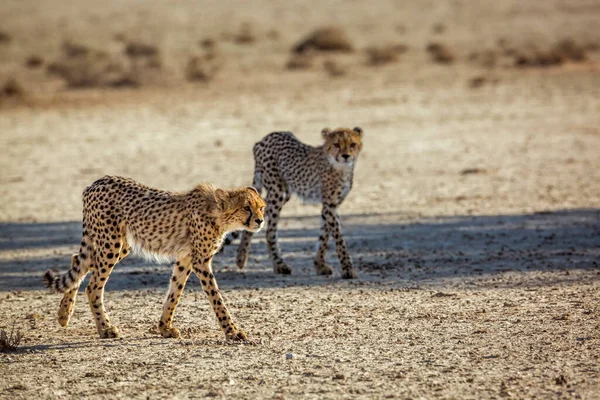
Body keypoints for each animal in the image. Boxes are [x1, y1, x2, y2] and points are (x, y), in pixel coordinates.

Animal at [42, 177, 264, 340]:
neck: (218, 214)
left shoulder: (185, 258)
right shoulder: (200, 260)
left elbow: (174, 293)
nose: (261, 220)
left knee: (78, 259)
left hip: (120, 245)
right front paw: (232, 331)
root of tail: (95, 183)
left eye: (261, 207)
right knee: (93, 286)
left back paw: (64, 315)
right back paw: (105, 329)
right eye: (246, 207)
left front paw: (165, 327)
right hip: (111, 244)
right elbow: (216, 298)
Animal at [237, 127, 364, 278]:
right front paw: (347, 269)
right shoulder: (329, 206)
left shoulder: (331, 206)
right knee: (270, 232)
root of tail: (264, 139)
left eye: (352, 144)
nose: (346, 156)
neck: (340, 167)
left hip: (285, 193)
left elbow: (324, 235)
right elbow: (338, 237)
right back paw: (279, 265)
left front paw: (319, 265)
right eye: (336, 144)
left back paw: (241, 257)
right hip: (277, 191)